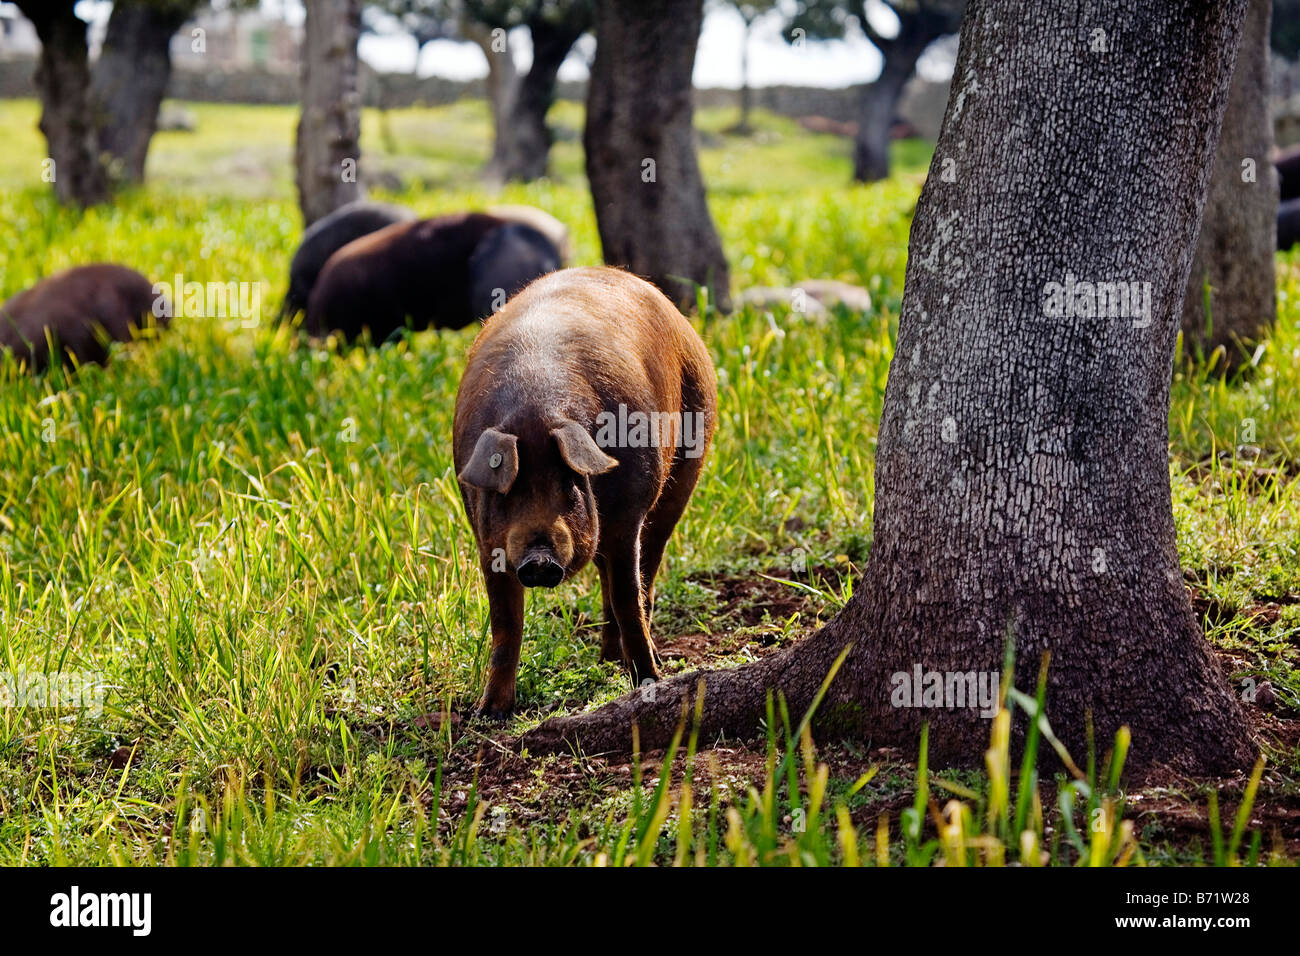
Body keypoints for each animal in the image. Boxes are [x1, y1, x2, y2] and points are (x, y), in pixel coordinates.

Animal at [453, 266, 717, 718]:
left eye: (570, 487)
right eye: (508, 493)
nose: (539, 559)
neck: (535, 410)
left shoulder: (628, 516)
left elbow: (628, 596)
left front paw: (649, 681)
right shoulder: (486, 539)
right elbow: (505, 621)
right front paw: (489, 711)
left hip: (686, 466)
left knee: (644, 573)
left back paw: (634, 661)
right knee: (607, 579)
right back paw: (607, 660)